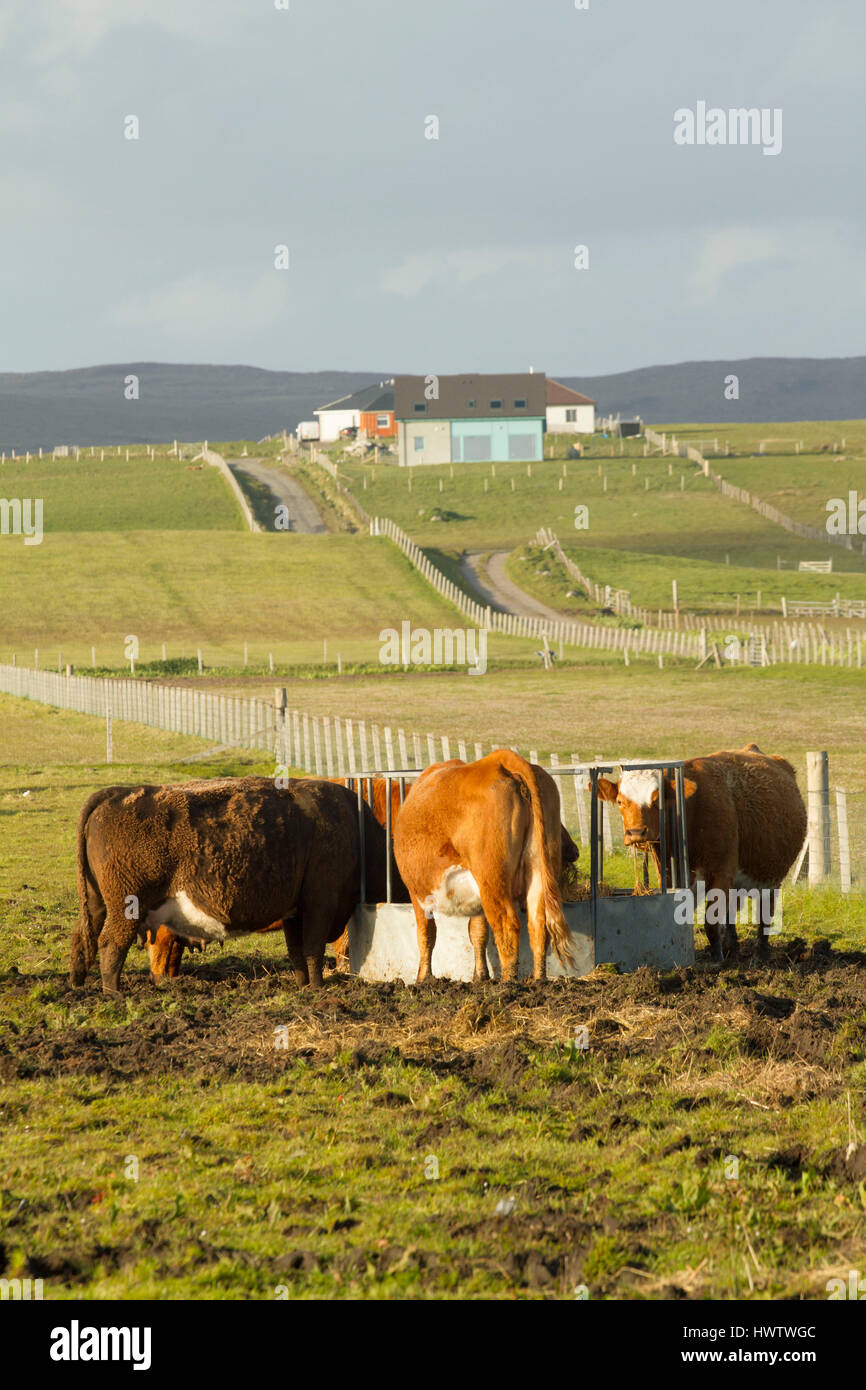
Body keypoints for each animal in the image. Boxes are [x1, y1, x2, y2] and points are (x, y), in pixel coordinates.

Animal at [70, 776, 399, 994]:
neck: (356, 830)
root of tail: (116, 794)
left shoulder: (294, 911)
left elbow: (297, 952)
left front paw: (303, 986)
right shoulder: (320, 904)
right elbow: (313, 949)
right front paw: (317, 989)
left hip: (97, 903)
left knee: (82, 939)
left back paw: (77, 986)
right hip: (126, 907)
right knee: (111, 943)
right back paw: (114, 994)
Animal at [394, 750, 576, 983]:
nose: (574, 851)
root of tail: (499, 760)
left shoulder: (418, 893)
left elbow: (426, 935)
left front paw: (423, 979)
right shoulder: (476, 895)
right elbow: (478, 932)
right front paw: (480, 976)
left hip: (493, 879)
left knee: (508, 926)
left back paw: (508, 983)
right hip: (536, 872)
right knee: (538, 926)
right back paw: (538, 981)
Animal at [596, 743, 806, 960]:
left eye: (657, 800)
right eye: (620, 801)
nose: (636, 833)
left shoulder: (721, 872)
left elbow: (711, 923)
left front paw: (717, 959)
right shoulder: (670, 876)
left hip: (771, 879)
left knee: (765, 913)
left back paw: (760, 954)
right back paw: (733, 948)